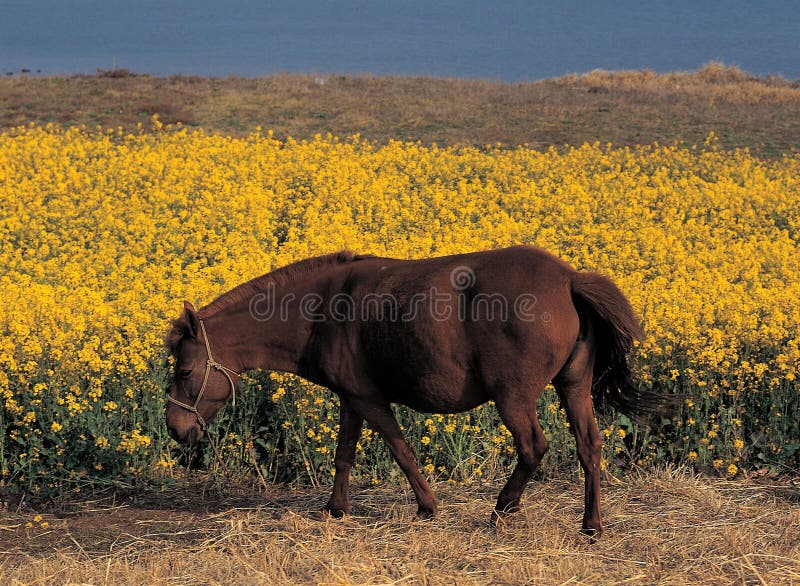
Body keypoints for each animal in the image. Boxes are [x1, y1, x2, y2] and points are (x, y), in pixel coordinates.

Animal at [165, 245, 673, 537]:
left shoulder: (369, 400)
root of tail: (569, 279)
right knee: (590, 446)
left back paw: (502, 509)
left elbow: (401, 450)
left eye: (185, 369)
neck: (323, 308)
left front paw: (427, 506)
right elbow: (344, 454)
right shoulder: (352, 399)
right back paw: (591, 524)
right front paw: (335, 508)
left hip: (513, 398)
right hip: (574, 388)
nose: (174, 428)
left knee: (534, 447)